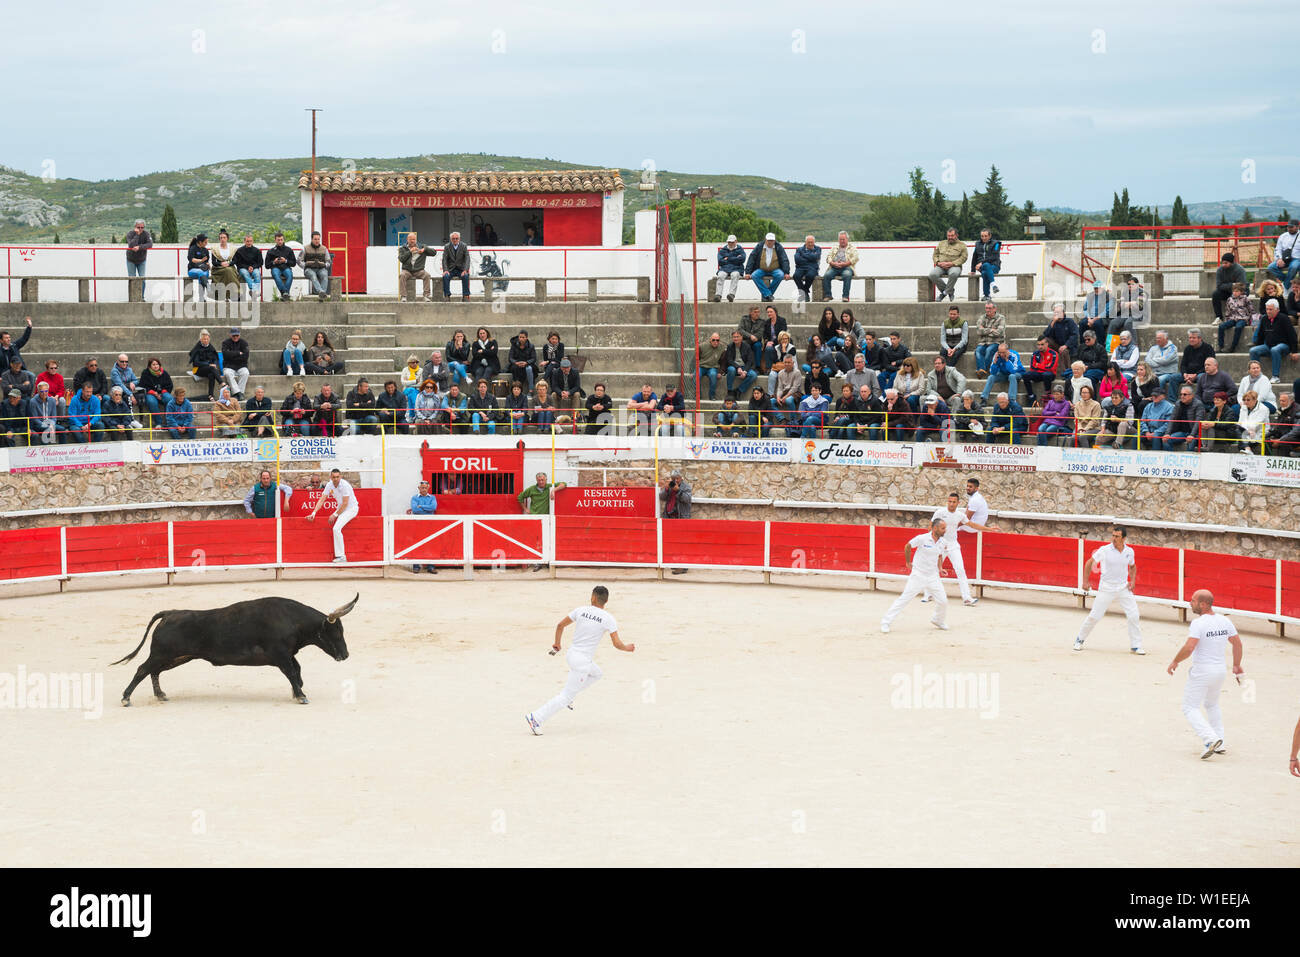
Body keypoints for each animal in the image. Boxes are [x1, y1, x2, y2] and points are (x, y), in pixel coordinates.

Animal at [113, 594, 358, 706]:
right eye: (336, 633)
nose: (346, 655)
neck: (292, 620)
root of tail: (170, 613)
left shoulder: (288, 655)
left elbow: (297, 671)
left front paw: (297, 691)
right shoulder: (281, 655)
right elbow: (291, 672)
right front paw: (300, 696)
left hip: (178, 656)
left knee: (154, 671)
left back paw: (161, 695)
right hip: (162, 653)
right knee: (142, 669)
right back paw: (126, 698)